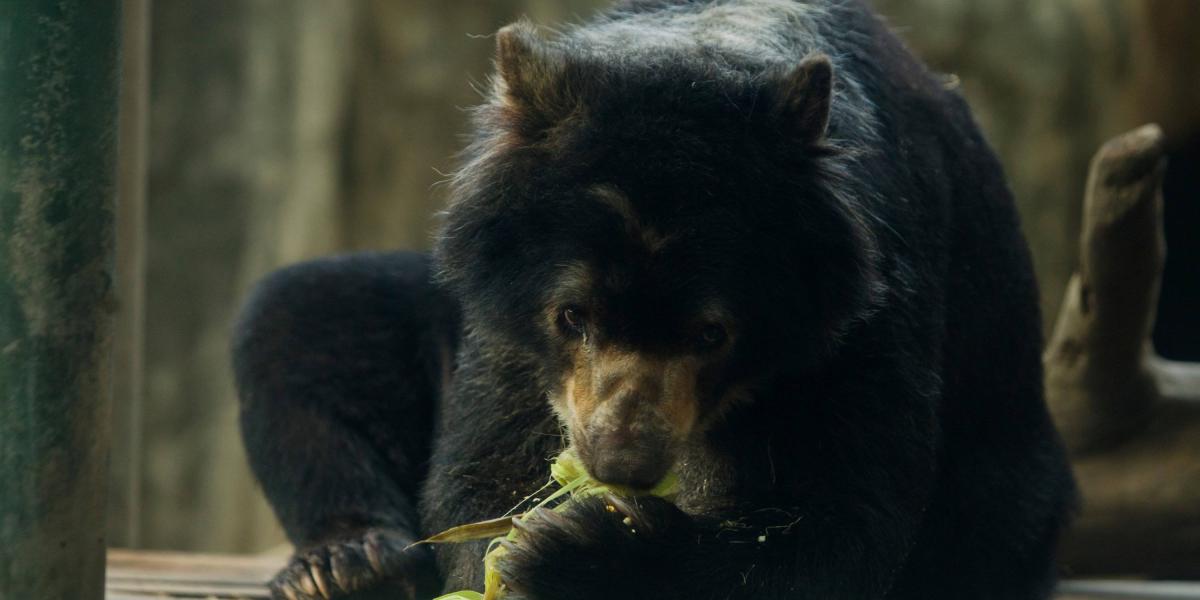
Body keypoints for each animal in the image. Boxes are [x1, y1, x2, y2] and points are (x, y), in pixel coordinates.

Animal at [233, 1, 1077, 599]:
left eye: (712, 334)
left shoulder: (867, 306)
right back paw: (346, 565)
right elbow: (479, 472)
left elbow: (836, 522)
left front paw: (566, 550)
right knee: (299, 314)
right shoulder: (503, 329)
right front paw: (515, 538)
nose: (621, 461)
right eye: (571, 316)